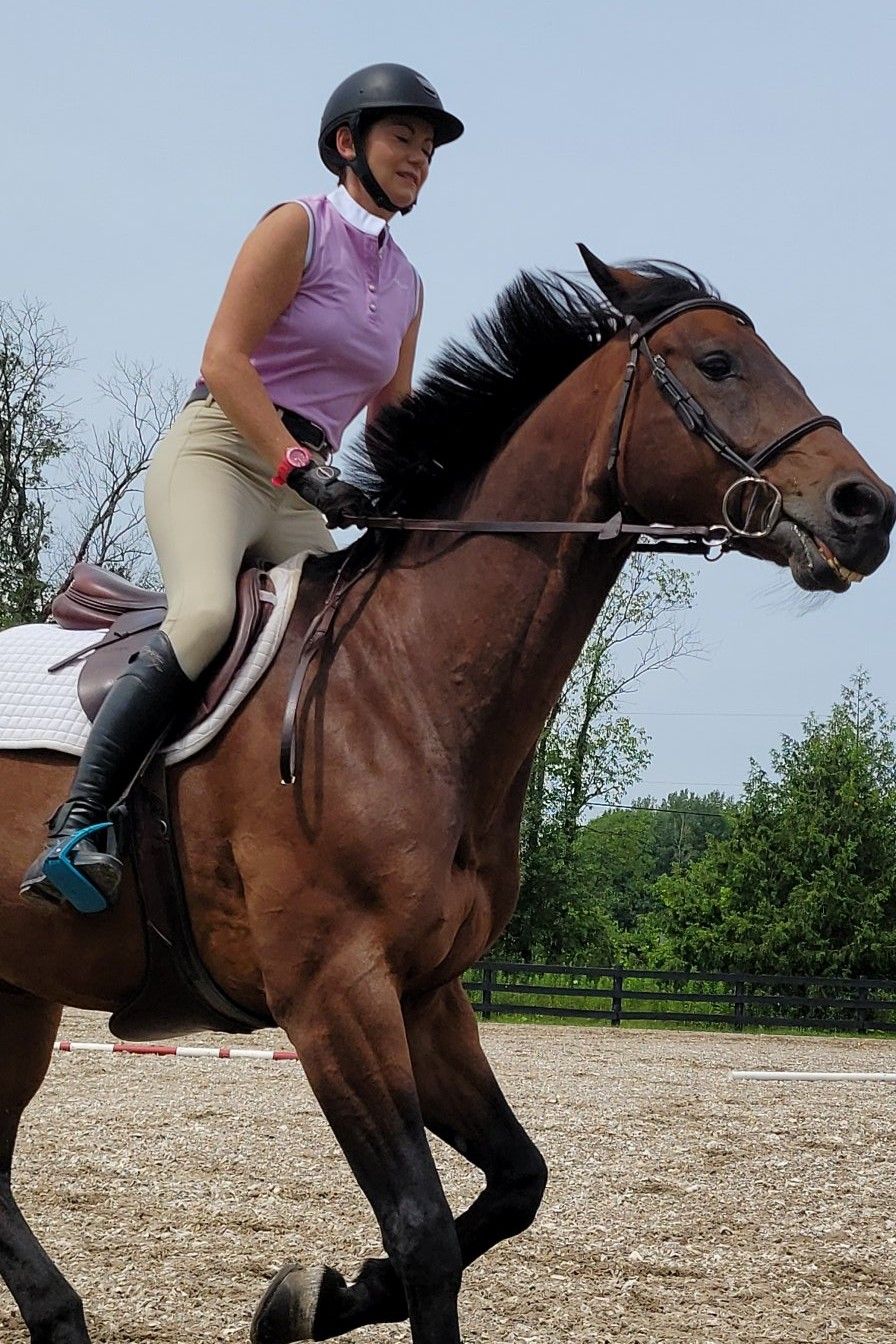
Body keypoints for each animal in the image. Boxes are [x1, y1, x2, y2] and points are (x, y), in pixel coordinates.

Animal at [0, 247, 892, 1344]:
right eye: (718, 363)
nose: (865, 509)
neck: (405, 686)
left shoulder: (425, 997)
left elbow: (516, 1182)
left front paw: (325, 1295)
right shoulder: (332, 997)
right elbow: (424, 1231)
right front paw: (324, 1293)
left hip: (19, 997)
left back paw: (60, 1315)